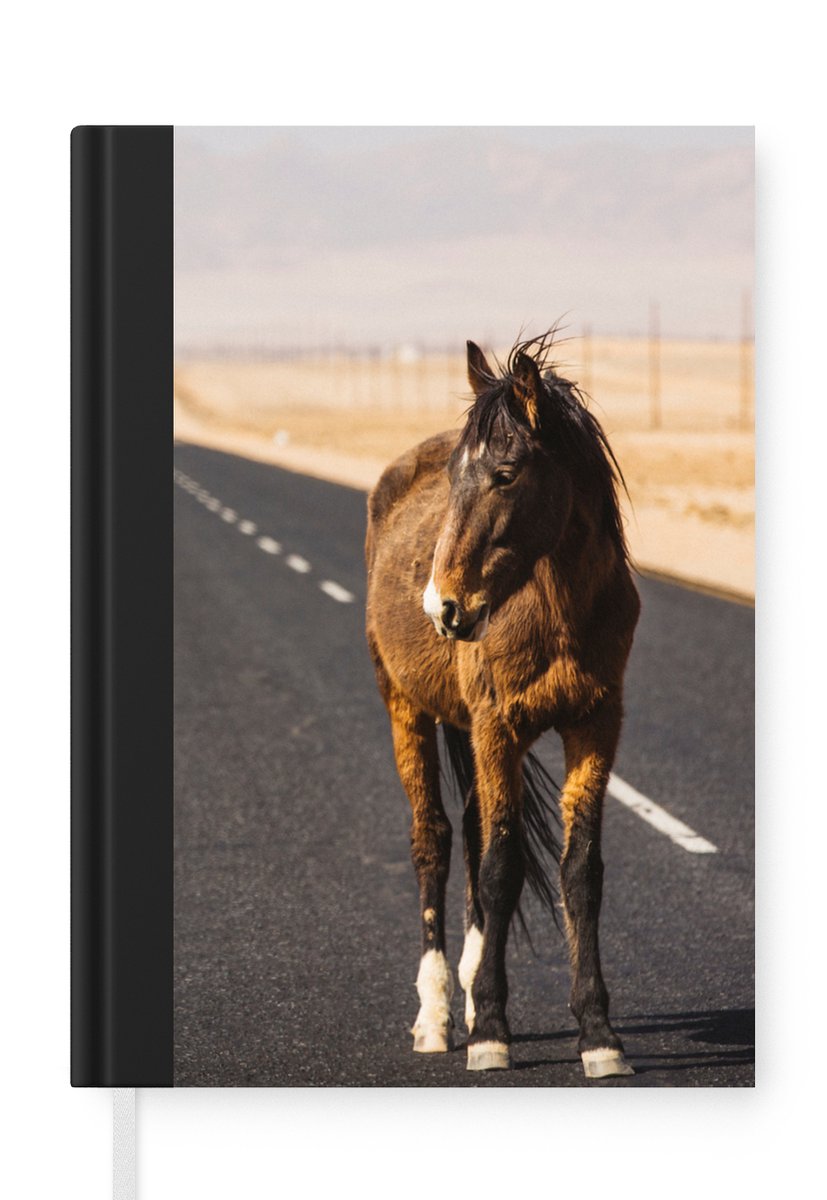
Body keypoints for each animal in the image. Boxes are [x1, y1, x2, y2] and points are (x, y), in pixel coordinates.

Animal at [365, 332, 640, 1077]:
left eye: (506, 474)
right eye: (455, 478)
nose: (442, 607)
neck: (558, 608)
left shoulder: (596, 723)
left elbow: (579, 871)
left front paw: (598, 1034)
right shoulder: (498, 728)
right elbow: (501, 867)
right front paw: (490, 1029)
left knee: (468, 830)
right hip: (404, 706)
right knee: (432, 839)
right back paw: (435, 1015)